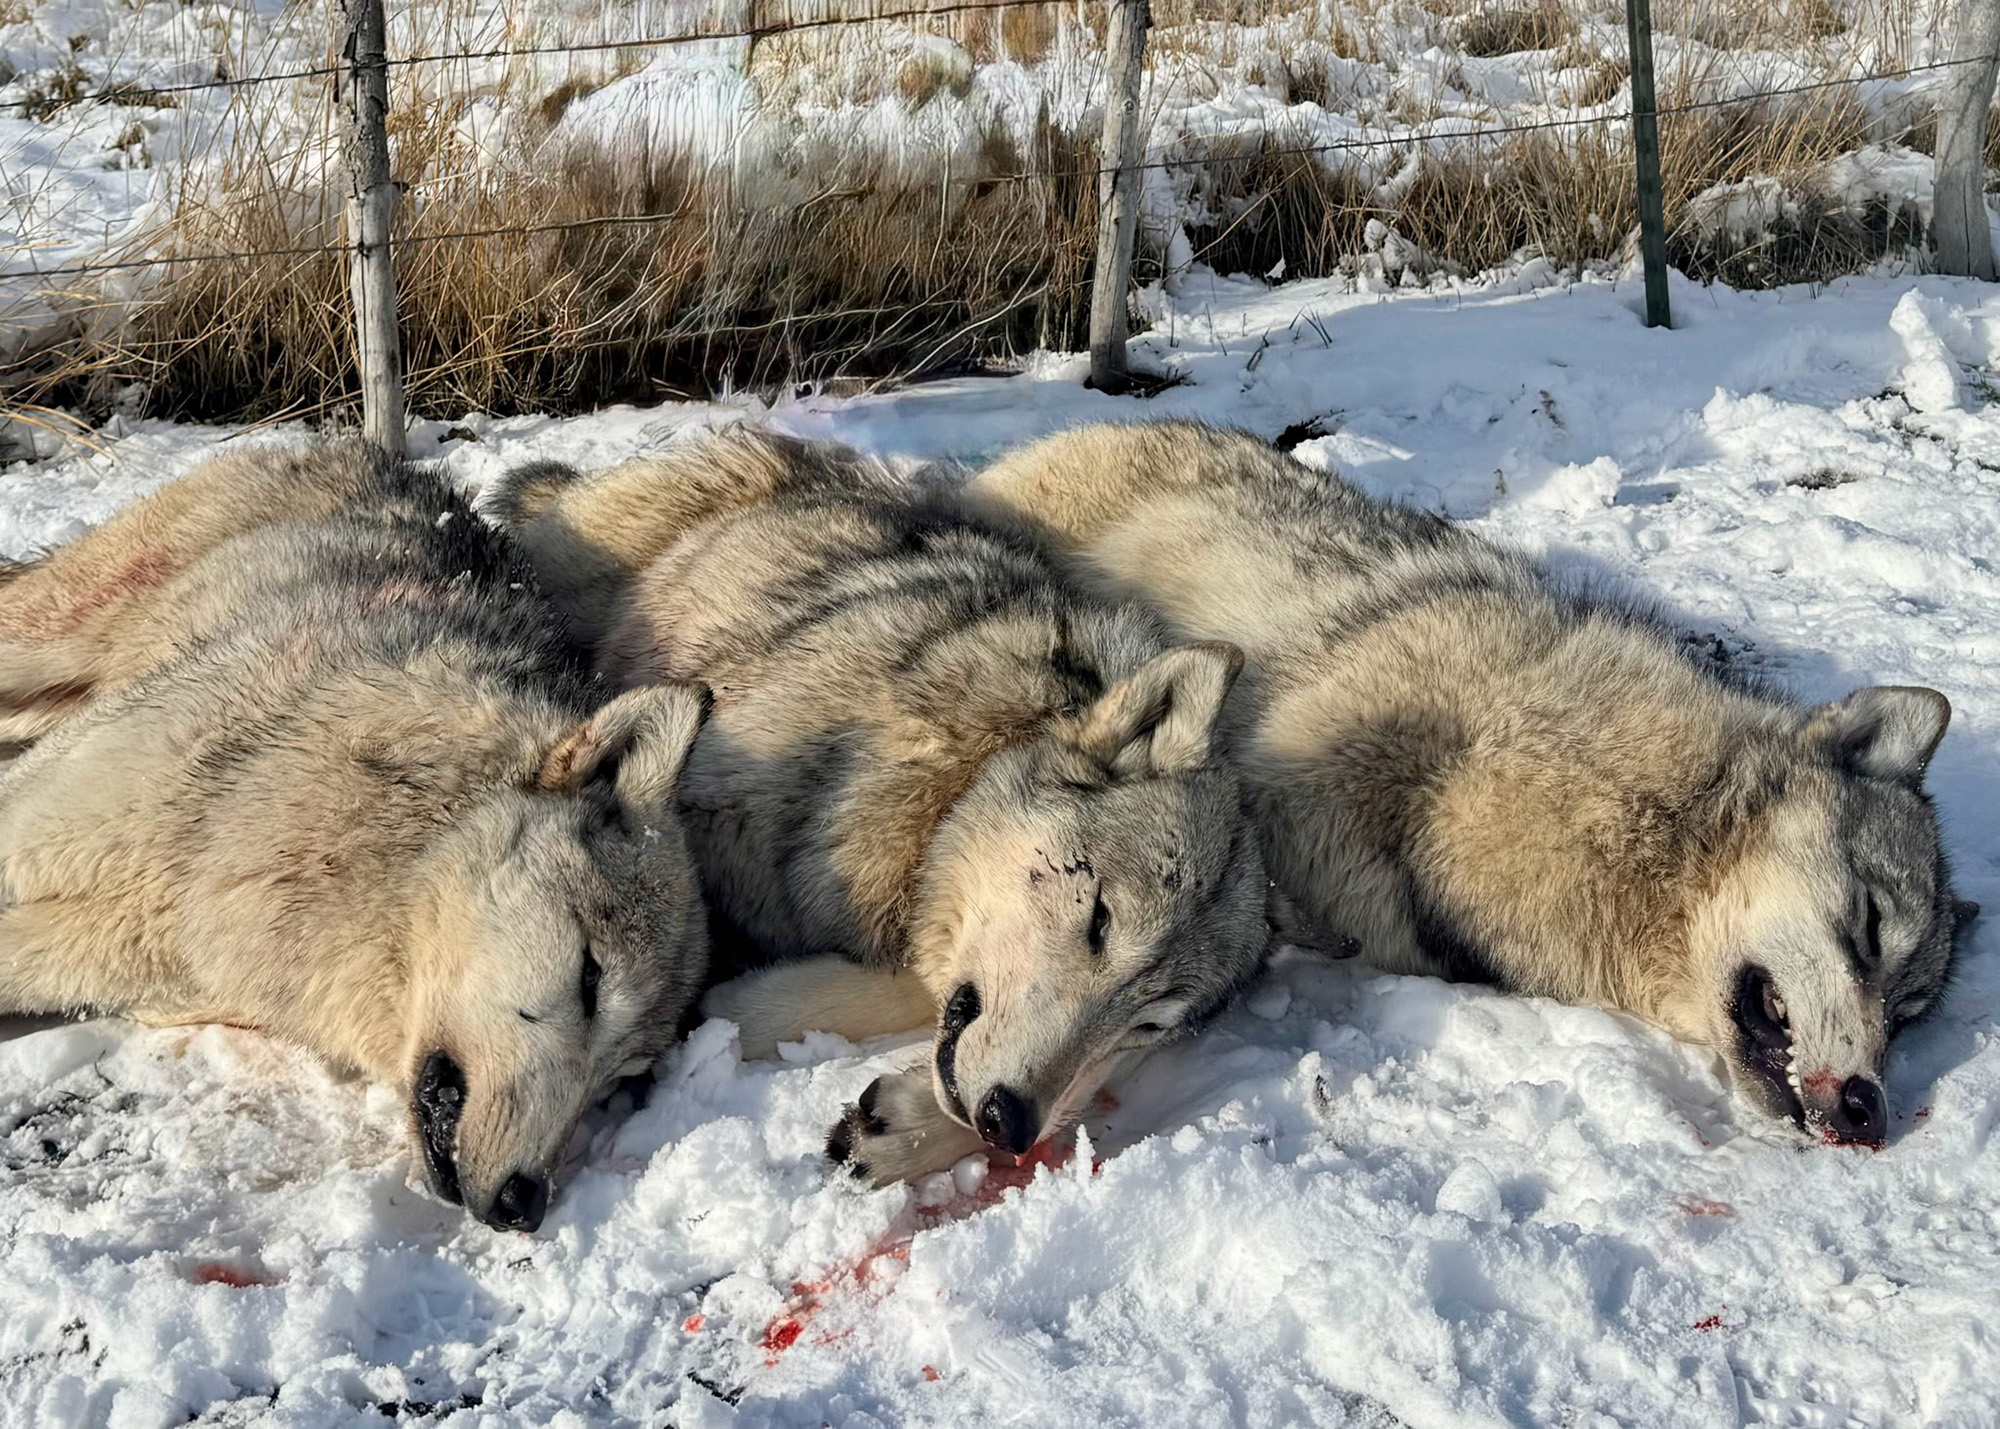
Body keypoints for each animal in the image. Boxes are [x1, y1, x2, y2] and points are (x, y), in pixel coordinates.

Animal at [489, 428, 1268, 1185]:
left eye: (1148, 1025)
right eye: (1099, 920)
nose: (1010, 1121)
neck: (936, 806)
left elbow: (925, 1006)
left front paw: (902, 1127)